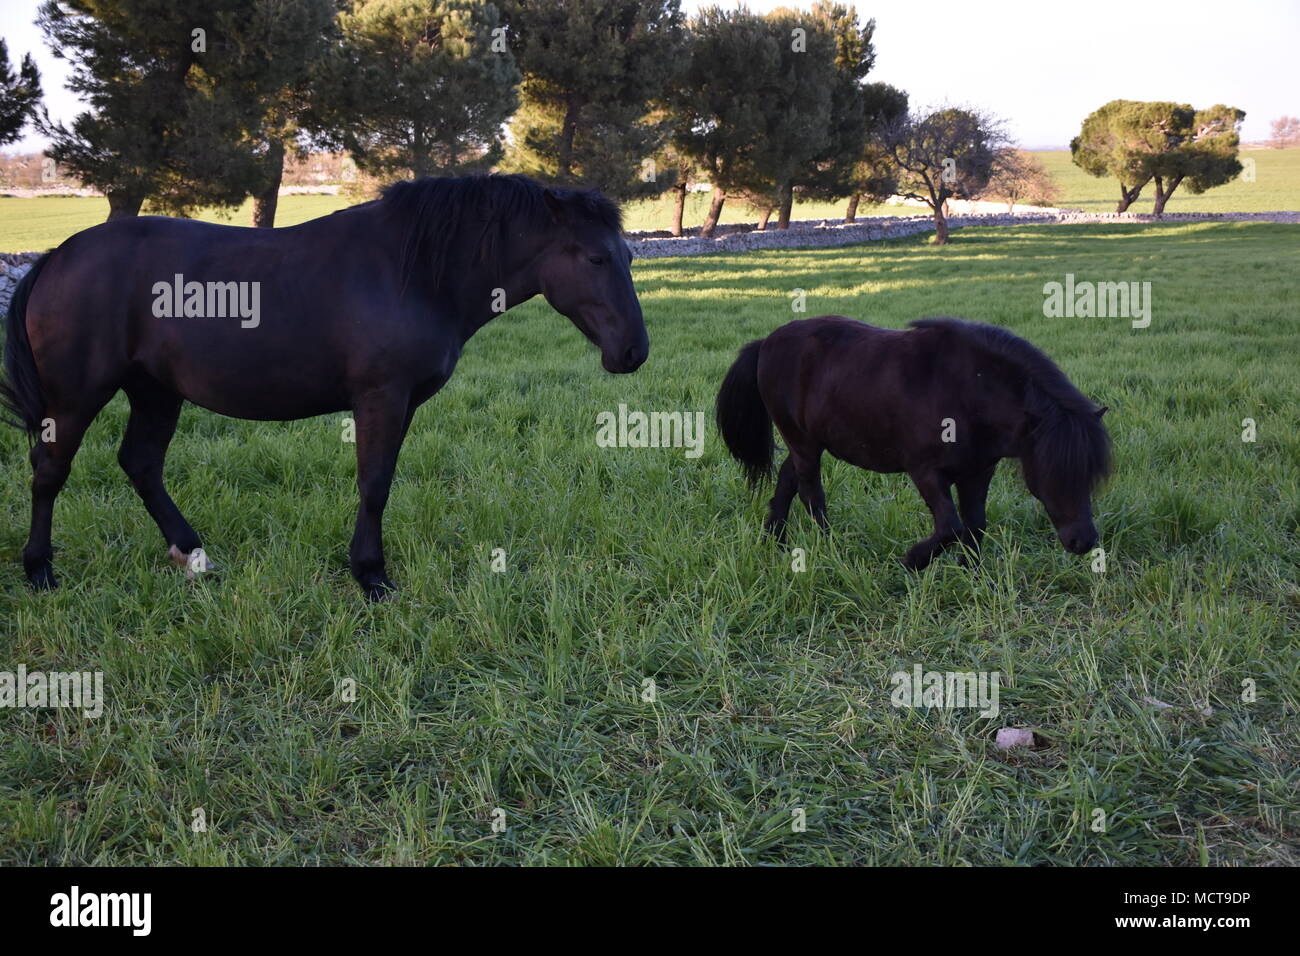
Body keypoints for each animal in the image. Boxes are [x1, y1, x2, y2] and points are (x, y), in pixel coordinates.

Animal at [1, 174, 648, 599]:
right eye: (596, 259)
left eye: (626, 256)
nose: (634, 351)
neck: (414, 272)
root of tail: (58, 256)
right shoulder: (381, 398)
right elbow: (375, 484)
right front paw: (371, 575)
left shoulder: (402, 403)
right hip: (77, 397)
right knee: (50, 472)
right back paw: (39, 571)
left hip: (156, 390)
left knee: (140, 463)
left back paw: (192, 555)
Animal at [715, 316, 1110, 569]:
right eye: (1054, 473)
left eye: (1090, 475)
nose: (1084, 541)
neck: (968, 391)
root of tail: (766, 342)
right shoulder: (925, 471)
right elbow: (950, 527)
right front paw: (913, 561)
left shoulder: (978, 472)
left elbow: (975, 525)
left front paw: (971, 573)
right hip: (803, 443)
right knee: (811, 494)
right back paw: (830, 547)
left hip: (808, 441)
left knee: (788, 480)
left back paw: (775, 539)